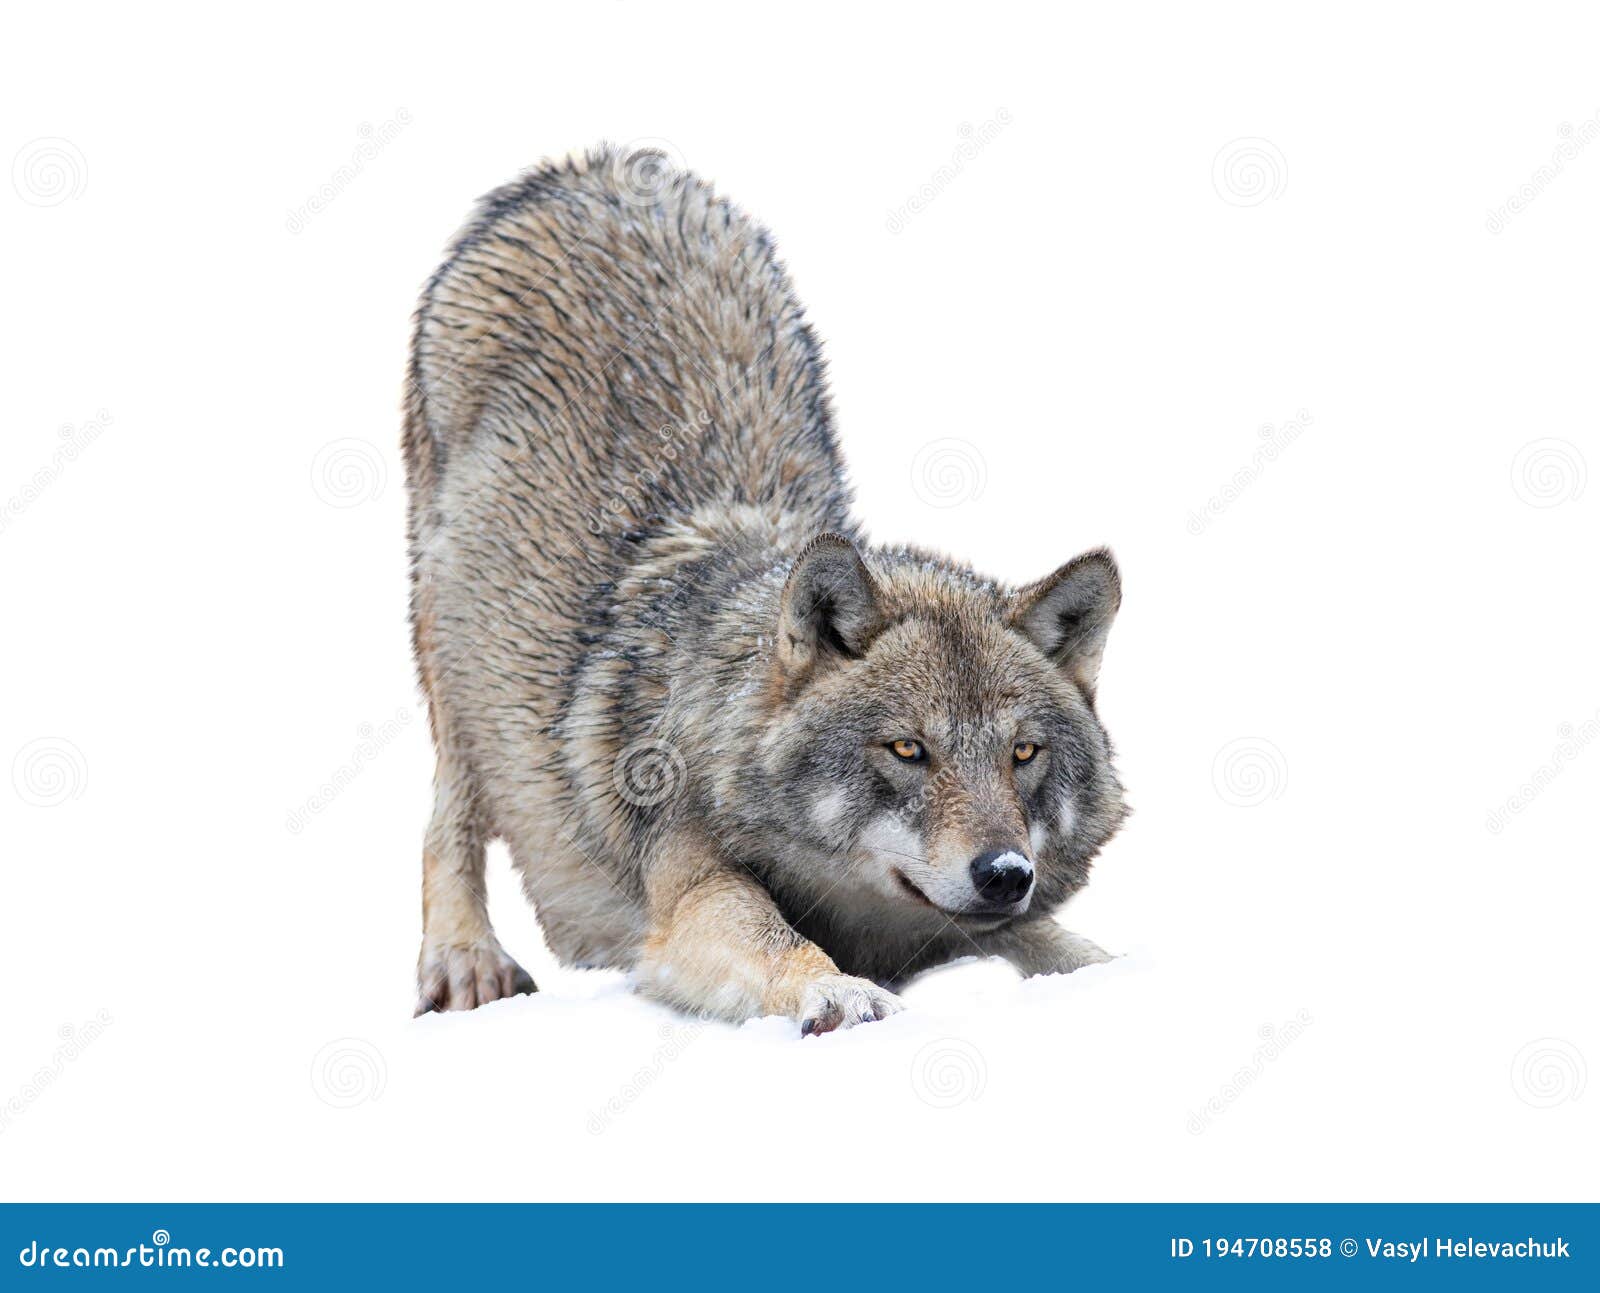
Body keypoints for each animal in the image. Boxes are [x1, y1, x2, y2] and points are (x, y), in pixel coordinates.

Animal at [403, 146, 1127, 1034]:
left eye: (1023, 753)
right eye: (907, 749)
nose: (1004, 872)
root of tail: (597, 165)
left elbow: (1060, 942)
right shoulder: (690, 892)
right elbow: (780, 939)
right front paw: (840, 990)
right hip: (449, 644)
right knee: (449, 810)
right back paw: (462, 960)